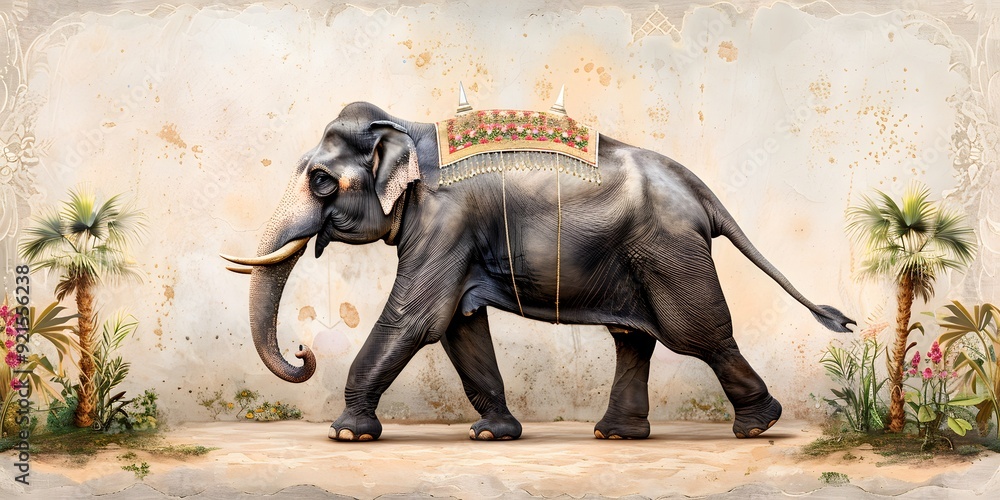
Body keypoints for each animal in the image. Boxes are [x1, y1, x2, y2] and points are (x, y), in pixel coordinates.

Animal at [222, 98, 854, 442]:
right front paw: (492, 434)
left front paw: (346, 432)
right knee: (633, 335)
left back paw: (758, 426)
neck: (406, 127)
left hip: (667, 248)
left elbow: (418, 318)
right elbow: (459, 325)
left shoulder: (445, 220)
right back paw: (615, 434)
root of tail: (702, 191)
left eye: (322, 181)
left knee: (696, 333)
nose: (303, 351)